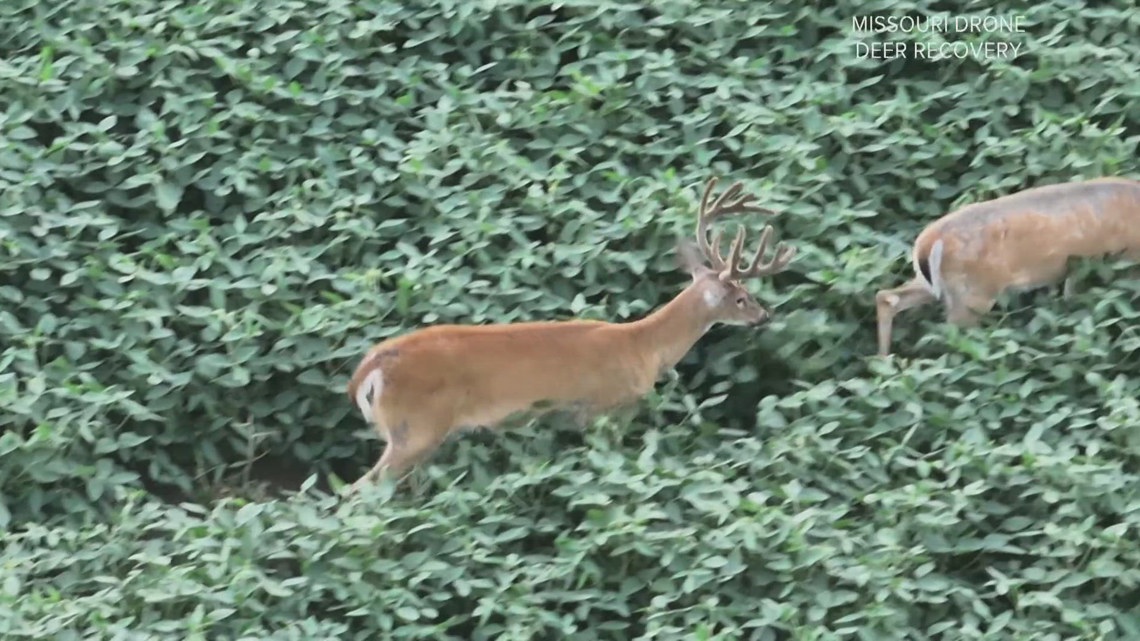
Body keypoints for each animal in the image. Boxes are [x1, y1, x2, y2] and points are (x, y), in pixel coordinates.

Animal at [343, 177, 797, 494]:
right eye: (741, 297)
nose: (765, 315)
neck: (642, 347)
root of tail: (370, 369)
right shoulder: (605, 406)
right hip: (415, 427)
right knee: (359, 489)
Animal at [875, 177, 1140, 356]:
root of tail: (927, 241)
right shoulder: (1127, 257)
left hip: (936, 284)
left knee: (887, 297)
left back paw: (884, 361)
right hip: (975, 290)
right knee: (954, 333)